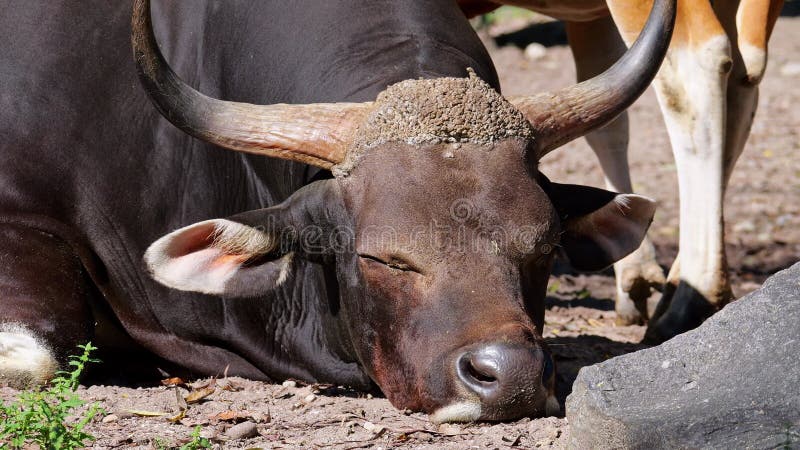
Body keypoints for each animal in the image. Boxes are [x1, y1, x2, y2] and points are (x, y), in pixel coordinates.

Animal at [461, 0, 785, 342]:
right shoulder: (586, 20)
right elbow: (603, 112)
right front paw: (633, 273)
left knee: (694, 72)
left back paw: (692, 301)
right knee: (742, 86)